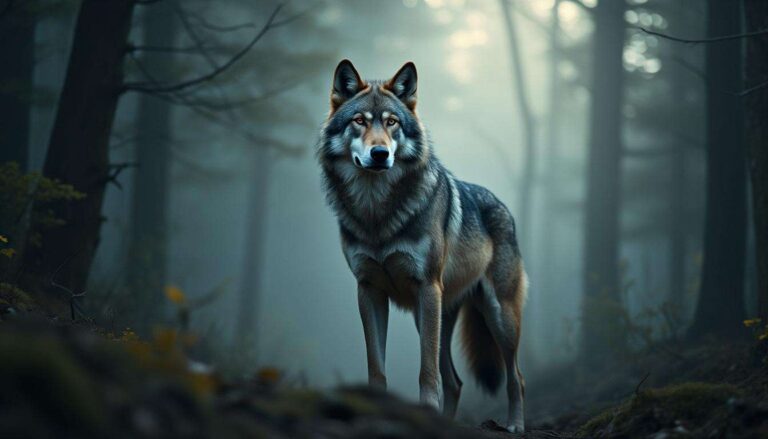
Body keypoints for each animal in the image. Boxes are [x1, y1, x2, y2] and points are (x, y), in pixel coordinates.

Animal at [317, 60, 528, 433]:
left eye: (392, 122)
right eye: (359, 121)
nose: (380, 153)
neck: (377, 214)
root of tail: (502, 206)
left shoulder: (427, 287)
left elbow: (426, 370)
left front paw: (425, 409)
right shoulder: (369, 290)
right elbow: (377, 365)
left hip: (496, 316)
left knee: (516, 376)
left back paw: (515, 425)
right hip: (435, 315)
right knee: (456, 381)